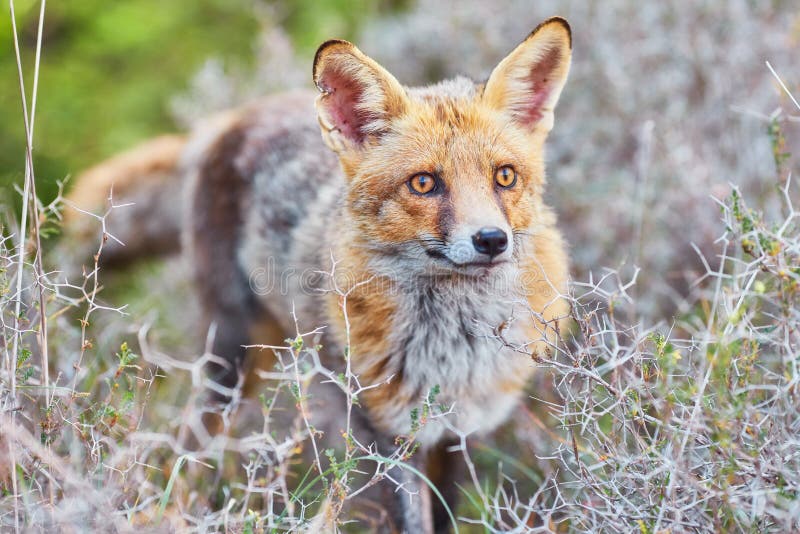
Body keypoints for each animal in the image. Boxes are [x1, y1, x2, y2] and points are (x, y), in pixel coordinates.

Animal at [64, 17, 572, 533]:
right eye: (424, 183)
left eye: (505, 176)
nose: (491, 239)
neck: (456, 349)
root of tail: (231, 118)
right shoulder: (388, 434)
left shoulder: (459, 433)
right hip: (232, 361)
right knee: (190, 449)